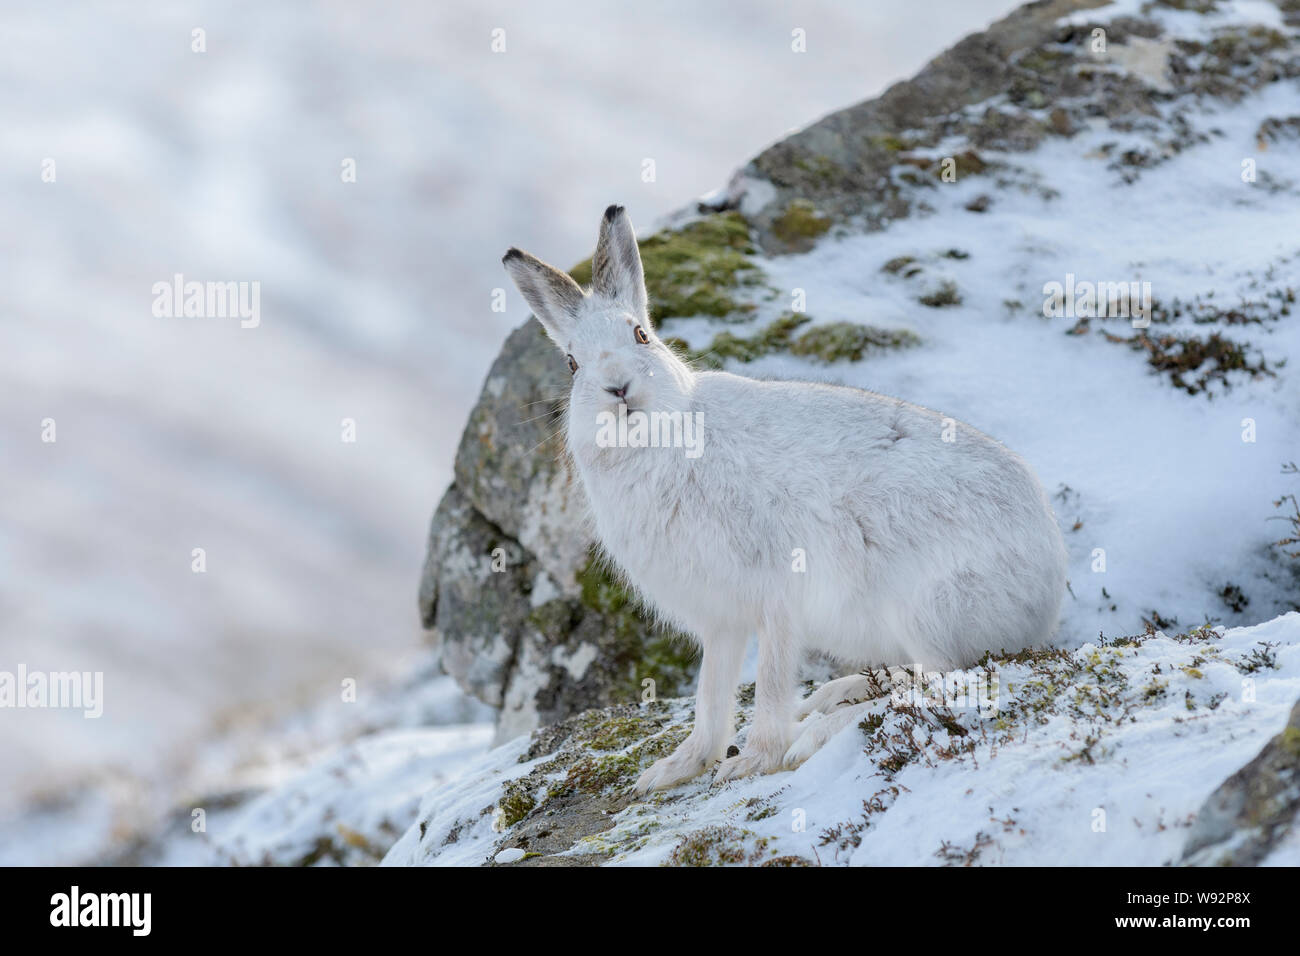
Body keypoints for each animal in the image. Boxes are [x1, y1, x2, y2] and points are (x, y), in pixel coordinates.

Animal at [502, 205, 1068, 793]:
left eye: (641, 335)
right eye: (573, 364)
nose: (617, 389)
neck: (665, 438)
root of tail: (1048, 590)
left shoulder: (776, 592)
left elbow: (772, 682)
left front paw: (755, 760)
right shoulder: (720, 617)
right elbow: (710, 697)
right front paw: (675, 769)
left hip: (929, 608)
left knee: (946, 679)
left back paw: (820, 729)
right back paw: (839, 692)